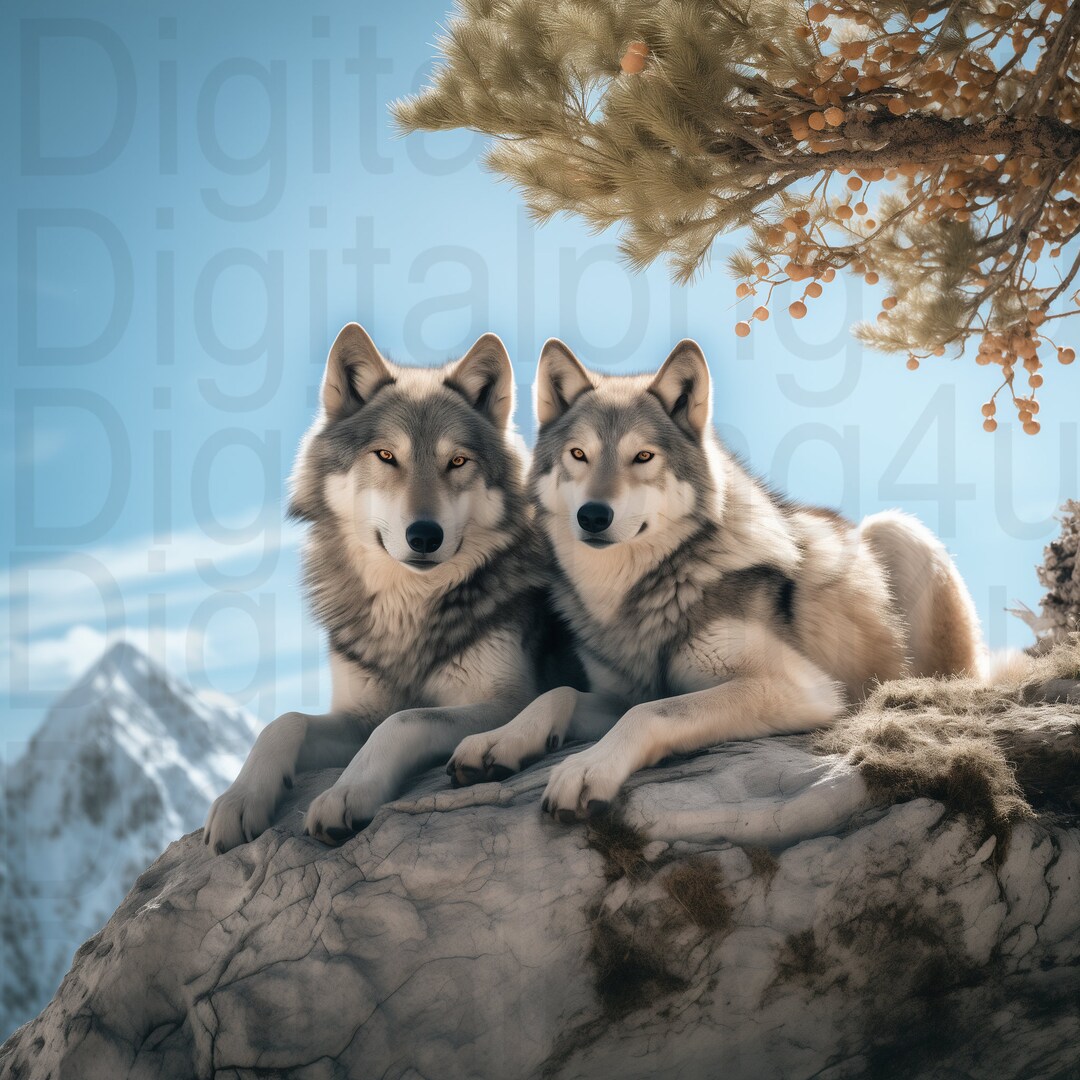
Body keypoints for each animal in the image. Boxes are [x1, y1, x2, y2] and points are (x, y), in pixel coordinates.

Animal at [205, 323, 563, 851]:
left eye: (458, 461)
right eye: (387, 456)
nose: (425, 535)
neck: (406, 608)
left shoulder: (509, 699)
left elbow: (405, 720)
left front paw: (347, 791)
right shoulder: (359, 712)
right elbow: (284, 721)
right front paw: (239, 798)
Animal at [447, 338, 985, 821]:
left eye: (643, 457)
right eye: (579, 455)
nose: (593, 516)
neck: (636, 596)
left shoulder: (801, 689)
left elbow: (653, 713)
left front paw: (587, 768)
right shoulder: (621, 693)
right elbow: (558, 694)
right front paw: (501, 739)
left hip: (897, 530)